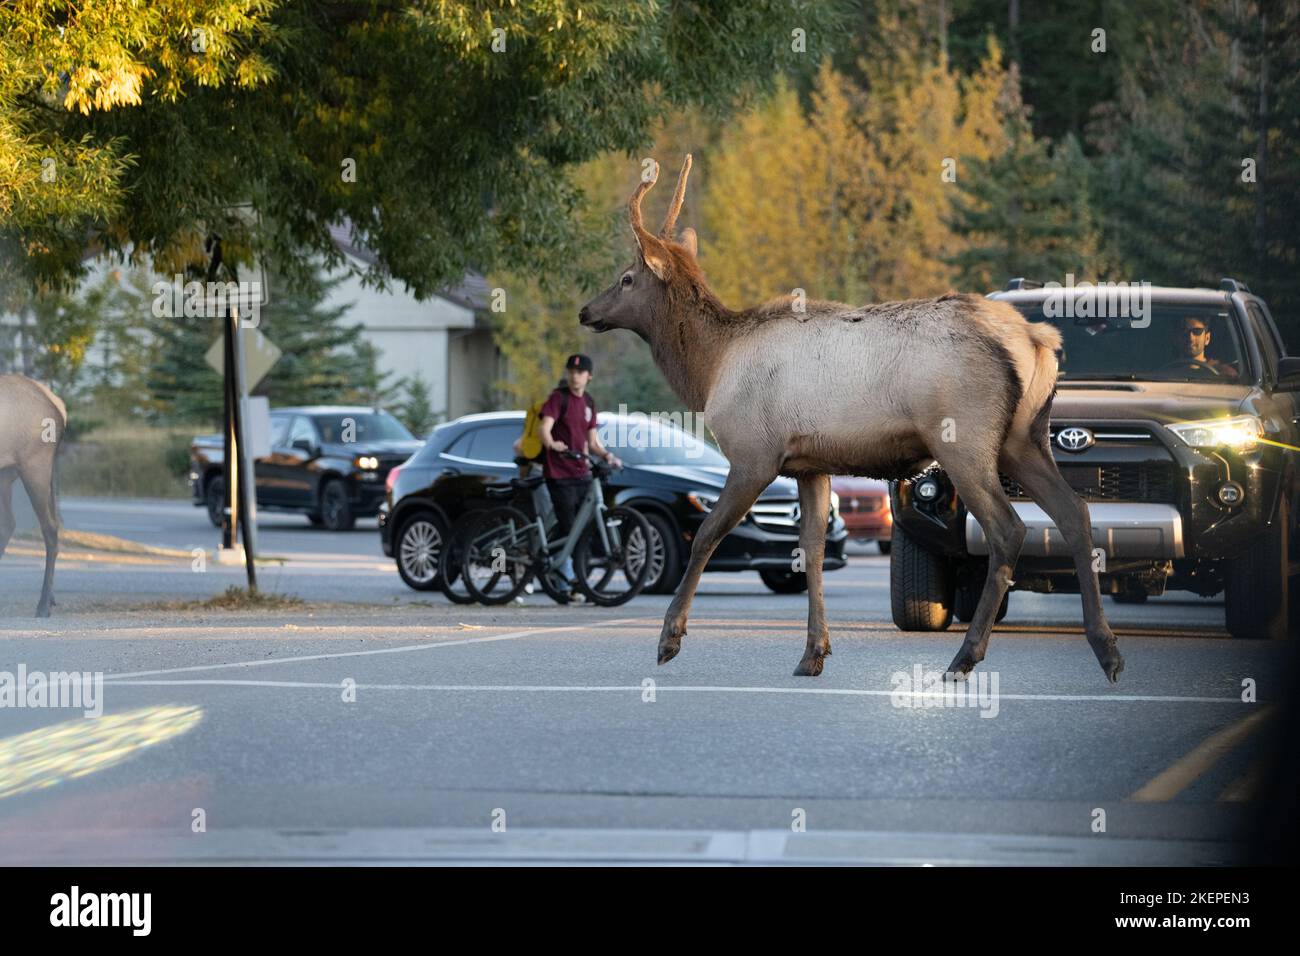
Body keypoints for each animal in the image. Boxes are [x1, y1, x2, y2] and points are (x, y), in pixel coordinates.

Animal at [578, 156, 1124, 683]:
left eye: (626, 278)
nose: (586, 311)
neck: (710, 369)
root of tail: (1038, 341)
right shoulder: (809, 465)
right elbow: (813, 550)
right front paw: (813, 653)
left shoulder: (754, 454)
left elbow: (707, 536)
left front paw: (669, 639)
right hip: (1024, 439)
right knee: (1075, 512)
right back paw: (1107, 650)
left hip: (963, 439)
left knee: (1008, 529)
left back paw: (965, 658)